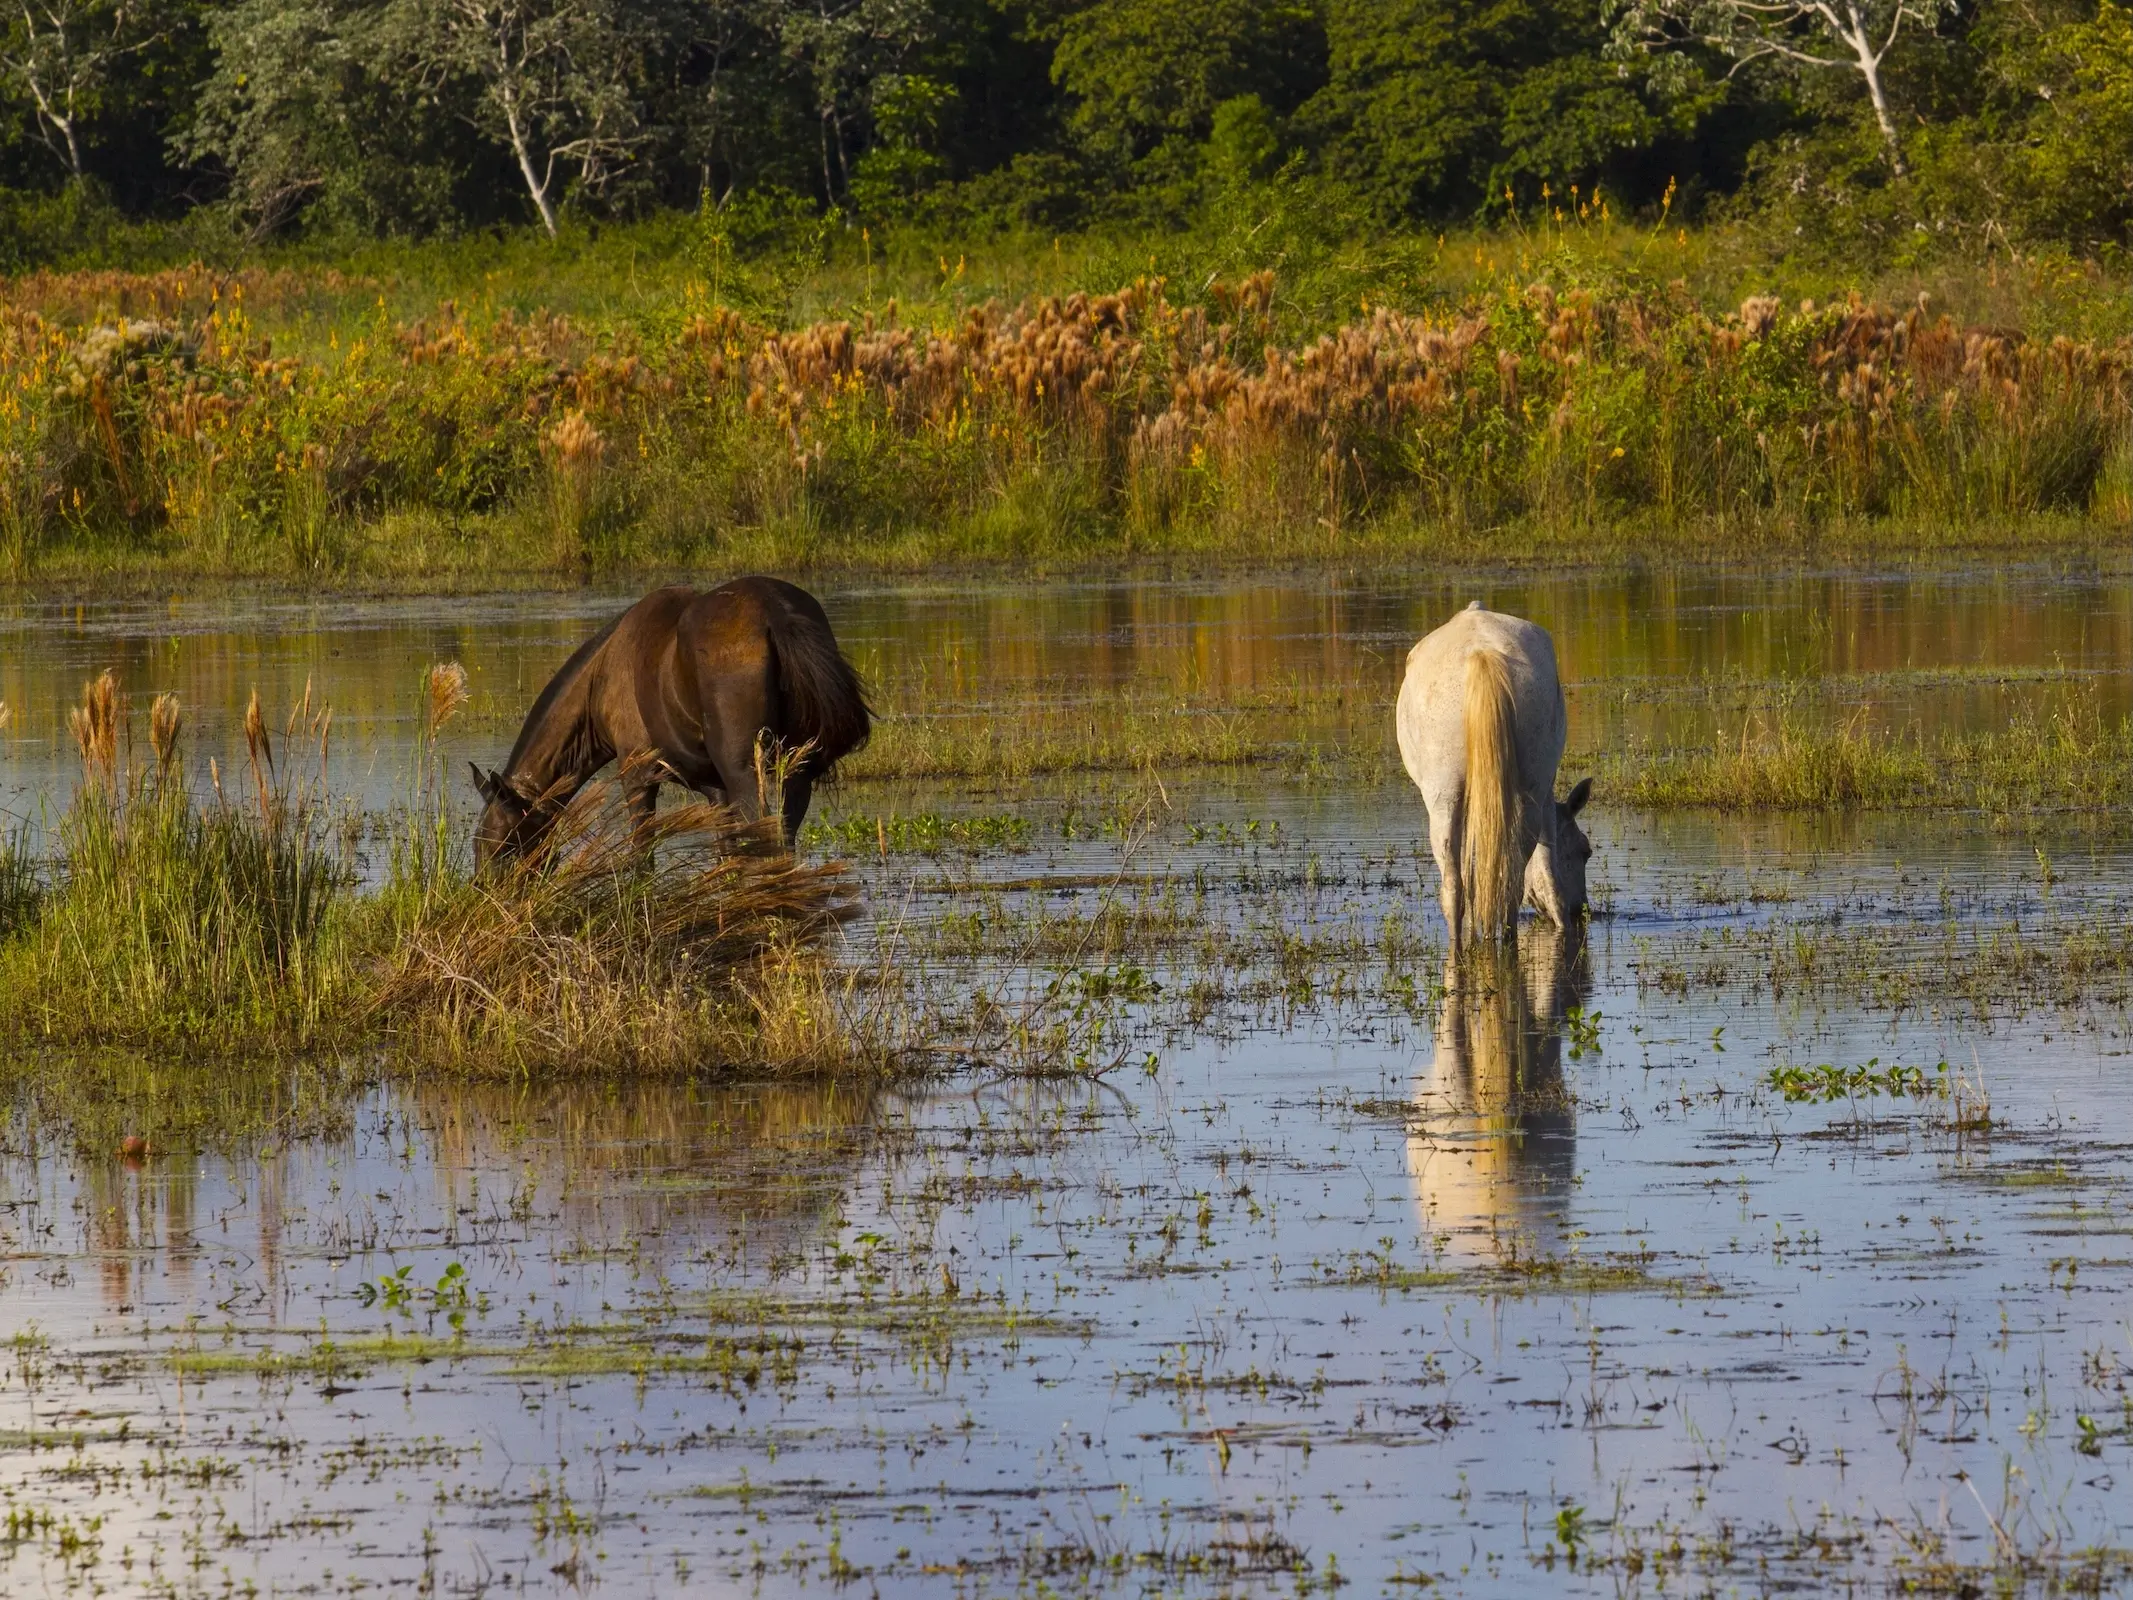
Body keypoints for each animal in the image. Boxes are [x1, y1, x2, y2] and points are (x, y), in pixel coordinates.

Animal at [471, 577, 871, 868]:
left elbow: (642, 857)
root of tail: (774, 612)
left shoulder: (637, 776)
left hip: (746, 774)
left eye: (501, 846)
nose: (489, 904)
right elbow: (725, 853)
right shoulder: (715, 790)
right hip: (797, 770)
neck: (602, 676)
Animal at [1395, 602, 1592, 944]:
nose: (1581, 909)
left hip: (1445, 799)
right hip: (1522, 794)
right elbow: (1547, 873)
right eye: (1585, 850)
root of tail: (1482, 653)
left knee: (1460, 886)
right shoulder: (1544, 794)